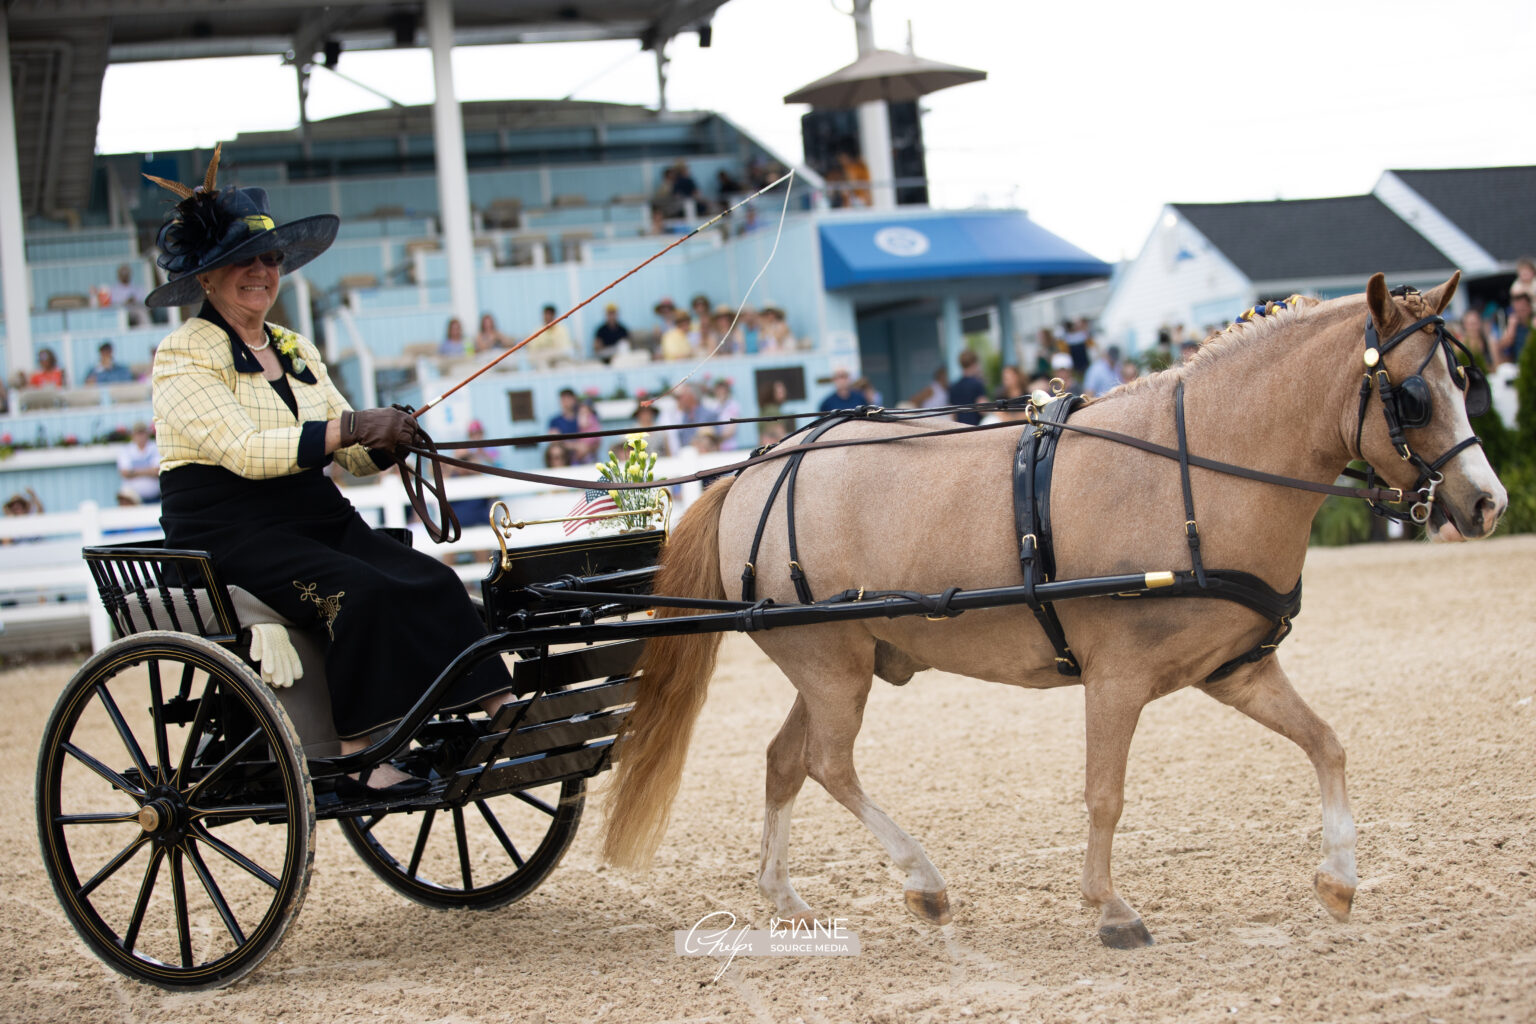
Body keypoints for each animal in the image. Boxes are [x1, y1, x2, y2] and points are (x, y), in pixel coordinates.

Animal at [602, 272, 1507, 948]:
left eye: (1464, 381)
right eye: (1415, 397)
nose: (1488, 502)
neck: (1197, 469)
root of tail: (753, 468)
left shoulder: (1235, 670)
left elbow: (1327, 744)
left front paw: (1339, 878)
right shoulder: (1117, 679)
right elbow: (1105, 794)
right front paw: (1110, 908)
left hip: (835, 664)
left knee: (786, 761)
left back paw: (786, 897)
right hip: (831, 667)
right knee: (828, 764)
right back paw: (923, 881)